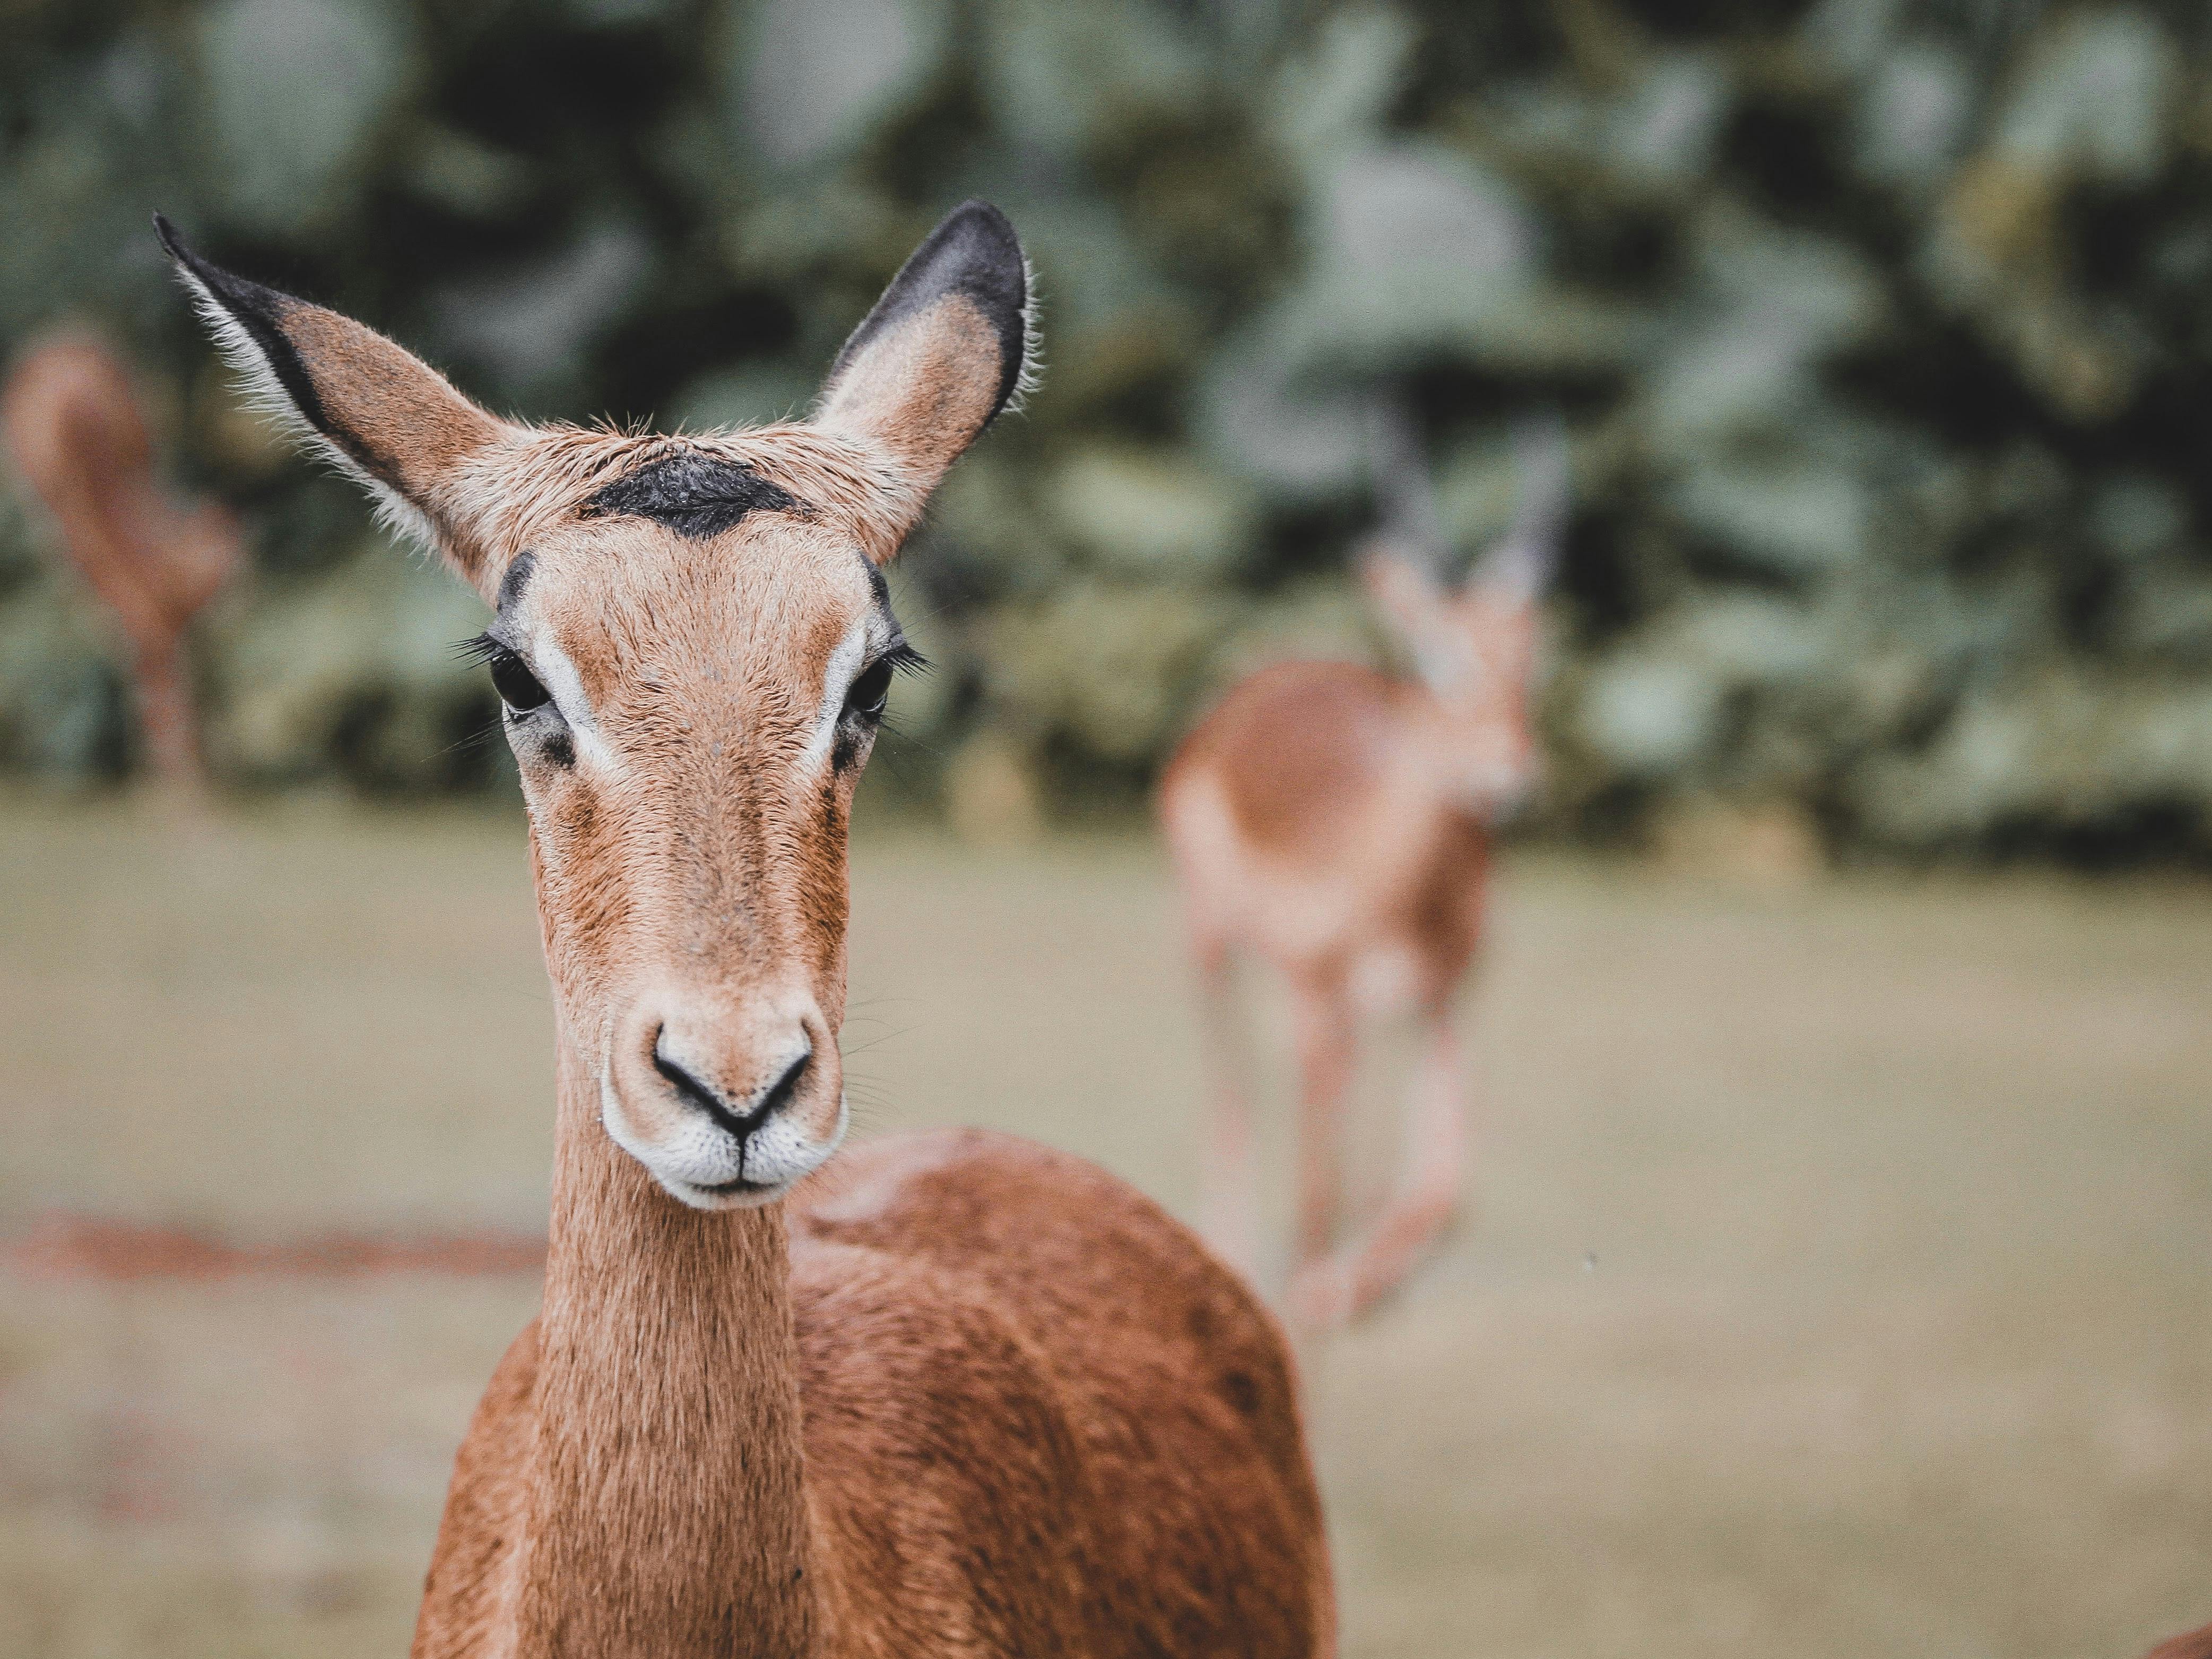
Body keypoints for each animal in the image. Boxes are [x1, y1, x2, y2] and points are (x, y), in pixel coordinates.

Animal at [1158, 406, 1563, 1331]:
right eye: (1439, 657)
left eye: (1532, 660)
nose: (1511, 777)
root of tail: (1260, 679)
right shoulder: (1318, 996)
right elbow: (1318, 1185)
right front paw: (1313, 1295)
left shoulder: (1444, 997)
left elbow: (1445, 1189)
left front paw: (1359, 1287)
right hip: (1214, 950)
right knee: (1232, 1104)